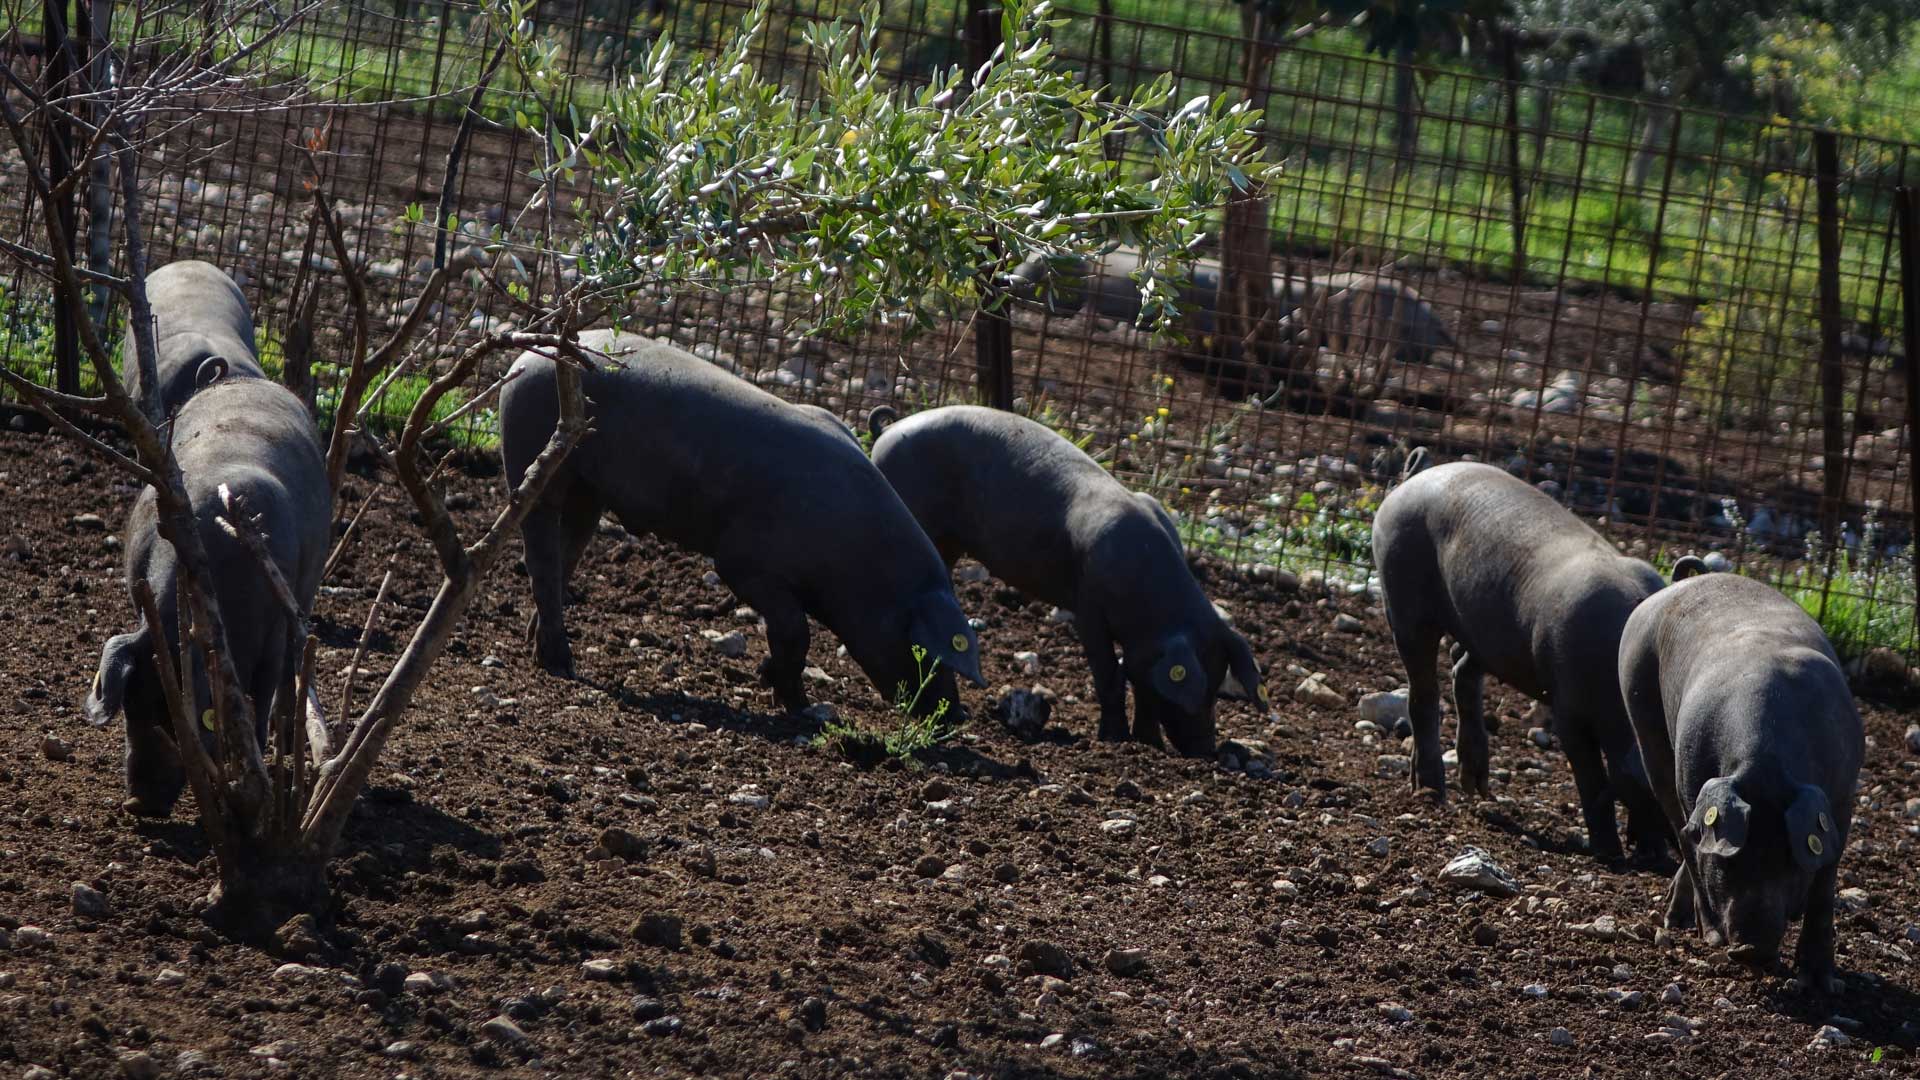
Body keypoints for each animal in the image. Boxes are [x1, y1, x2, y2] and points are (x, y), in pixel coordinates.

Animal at [84, 377, 330, 817]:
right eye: (130, 711)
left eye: (177, 721)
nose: (137, 802)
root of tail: (252, 380)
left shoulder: (273, 631)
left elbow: (263, 693)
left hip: (305, 589)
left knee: (288, 673)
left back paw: (284, 742)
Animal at [497, 330, 983, 716]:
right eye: (923, 653)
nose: (955, 715)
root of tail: (525, 360)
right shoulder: (745, 563)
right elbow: (794, 629)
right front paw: (796, 705)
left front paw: (781, 691)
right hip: (534, 458)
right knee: (541, 556)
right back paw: (560, 663)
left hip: (587, 490)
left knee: (569, 550)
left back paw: (538, 643)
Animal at [867, 404, 1263, 757]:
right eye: (1199, 691)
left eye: (1217, 685)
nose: (1206, 750)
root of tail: (888, 430)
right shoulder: (1088, 608)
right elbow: (1109, 675)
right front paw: (1114, 741)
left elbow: (1138, 681)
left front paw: (1148, 745)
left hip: (947, 542)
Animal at [1371, 460, 1705, 861]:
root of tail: (1414, 477)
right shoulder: (1567, 710)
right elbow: (1593, 779)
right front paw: (1611, 855)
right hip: (1403, 603)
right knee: (1423, 693)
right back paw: (1432, 793)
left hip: (1484, 631)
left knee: (1461, 668)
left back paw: (1477, 788)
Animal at [1618, 569, 1862, 990]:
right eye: (1729, 863)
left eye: (1788, 860)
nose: (1750, 948)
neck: (1765, 767)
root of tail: (1676, 585)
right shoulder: (1690, 784)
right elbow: (1694, 850)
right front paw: (1713, 937)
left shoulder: (1842, 802)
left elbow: (1824, 887)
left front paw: (1820, 983)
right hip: (1644, 721)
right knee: (1680, 829)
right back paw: (1680, 923)